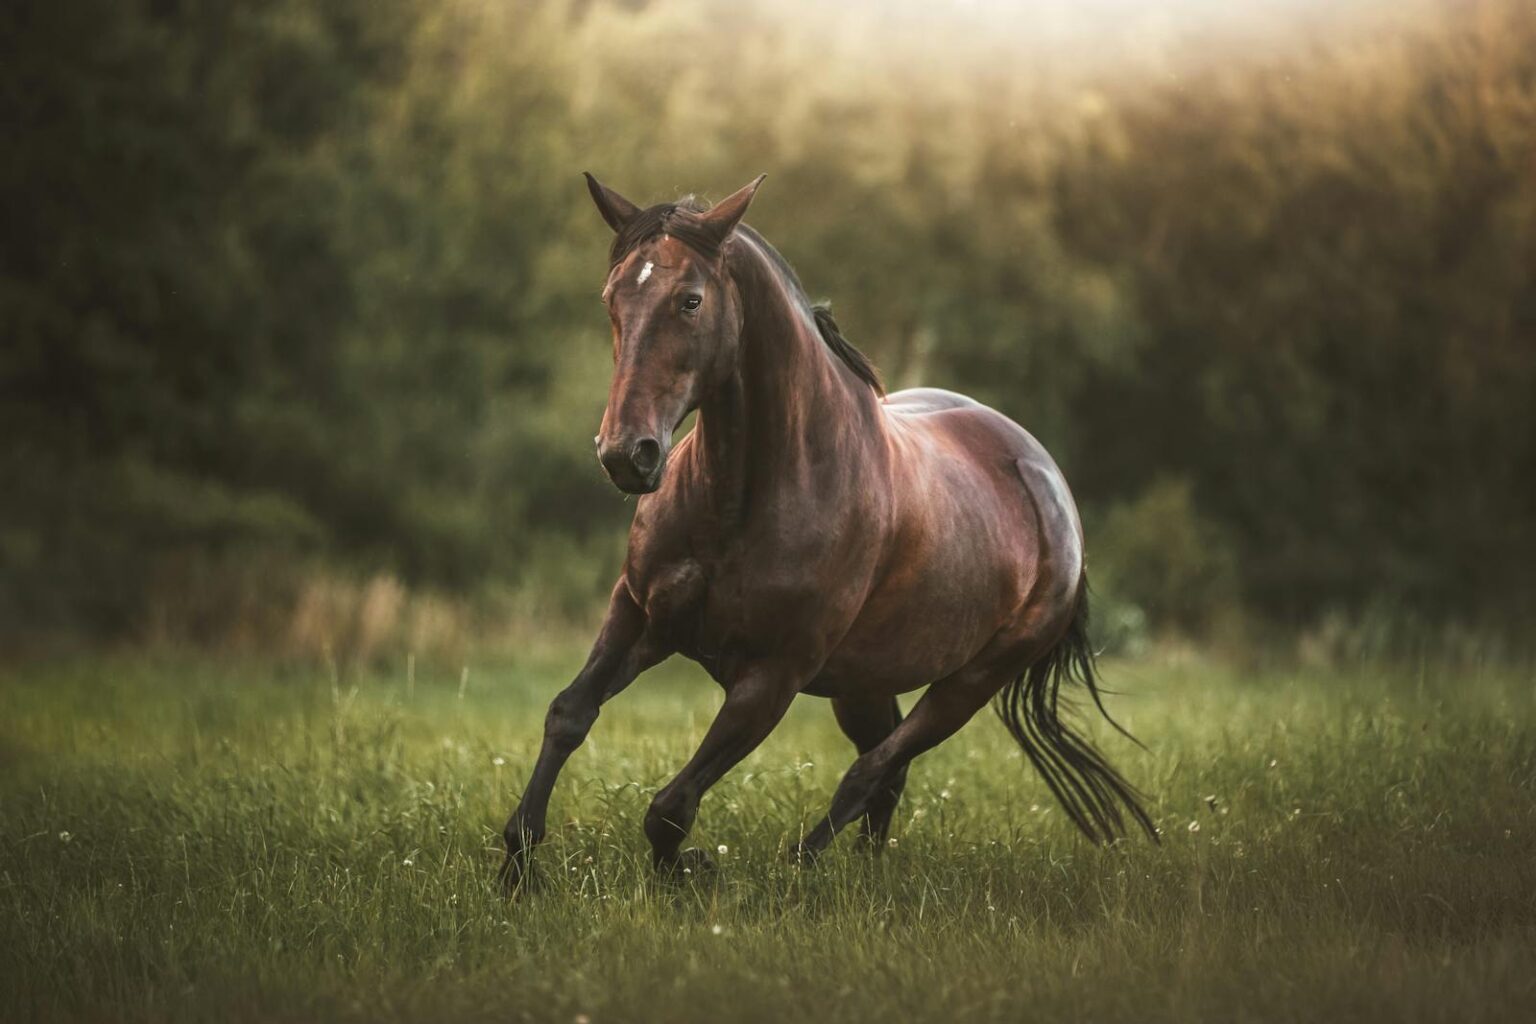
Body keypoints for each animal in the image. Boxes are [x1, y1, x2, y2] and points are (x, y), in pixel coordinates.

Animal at [499, 174, 1155, 889]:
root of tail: (1050, 485)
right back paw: (862, 872)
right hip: (863, 683)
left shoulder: (772, 677)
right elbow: (569, 714)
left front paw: (692, 870)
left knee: (872, 772)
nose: (627, 454)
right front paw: (517, 864)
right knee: (883, 777)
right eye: (612, 298)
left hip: (969, 684)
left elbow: (671, 808)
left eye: (690, 301)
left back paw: (803, 868)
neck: (744, 496)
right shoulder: (641, 614)